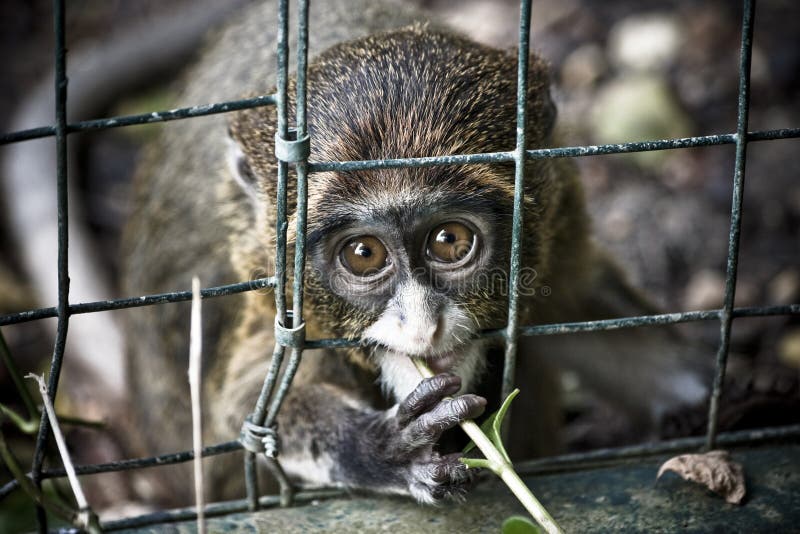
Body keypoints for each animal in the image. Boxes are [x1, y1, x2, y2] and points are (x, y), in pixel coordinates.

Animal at [118, 0, 713, 506]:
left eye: (450, 241)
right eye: (363, 253)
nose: (424, 325)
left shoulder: (558, 221)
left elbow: (579, 309)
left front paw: (707, 396)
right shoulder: (274, 308)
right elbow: (240, 408)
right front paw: (376, 450)